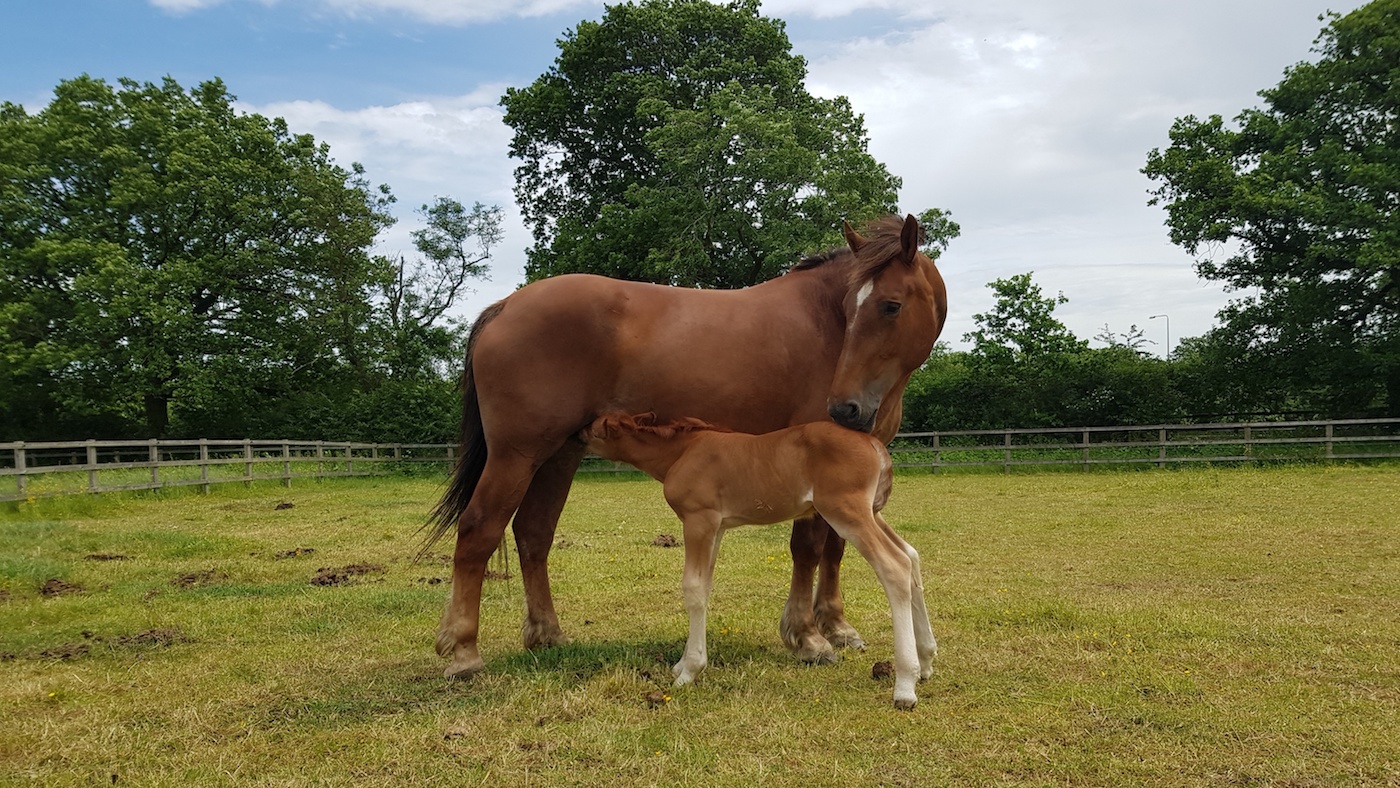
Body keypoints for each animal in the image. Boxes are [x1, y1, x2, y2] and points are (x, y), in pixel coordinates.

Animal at [582, 412, 937, 709]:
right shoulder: (717, 528)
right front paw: (683, 663)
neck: (681, 453)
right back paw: (926, 660)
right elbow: (705, 587)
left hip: (847, 512)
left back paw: (905, 687)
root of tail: (873, 444)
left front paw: (689, 671)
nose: (577, 436)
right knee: (911, 556)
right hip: (871, 512)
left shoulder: (699, 520)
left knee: (894, 566)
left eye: (592, 427)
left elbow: (693, 589)